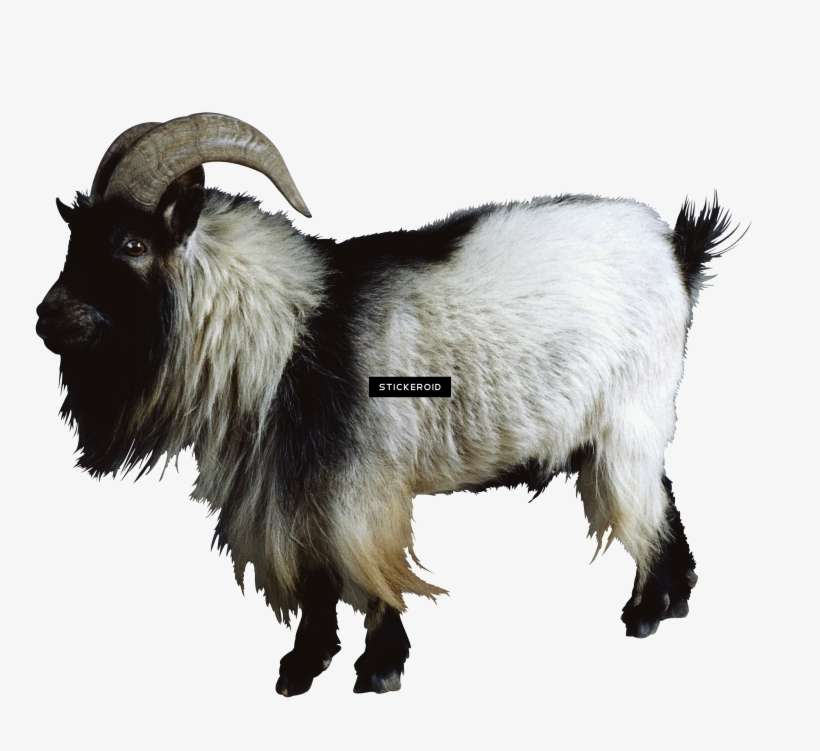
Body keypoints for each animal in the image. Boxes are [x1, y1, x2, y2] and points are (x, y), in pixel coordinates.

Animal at [36, 113, 739, 695]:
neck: (292, 328)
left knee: (642, 502)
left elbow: (367, 568)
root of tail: (675, 252)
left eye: (132, 245)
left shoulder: (359, 483)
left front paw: (378, 669)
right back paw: (675, 600)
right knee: (663, 493)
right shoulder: (294, 485)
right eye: (76, 238)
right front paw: (303, 666)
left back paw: (645, 612)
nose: (48, 318)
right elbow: (315, 578)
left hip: (630, 416)